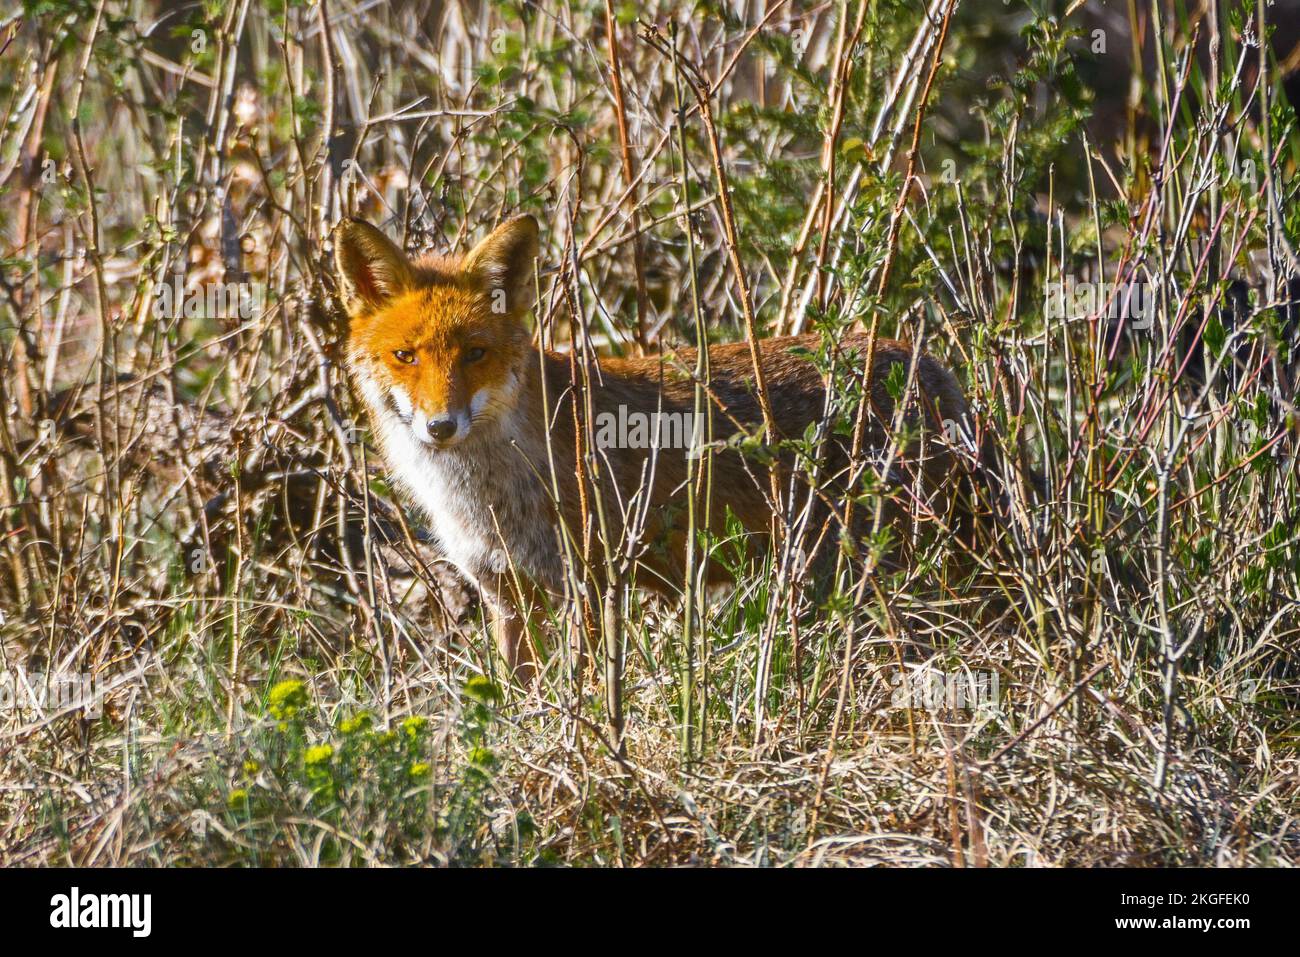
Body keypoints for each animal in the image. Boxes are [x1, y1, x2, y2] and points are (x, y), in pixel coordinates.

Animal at [334, 215, 988, 683]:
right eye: (406, 356)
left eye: (474, 354)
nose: (440, 426)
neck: (489, 491)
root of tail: (923, 359)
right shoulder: (507, 593)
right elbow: (519, 691)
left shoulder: (592, 584)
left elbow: (587, 683)